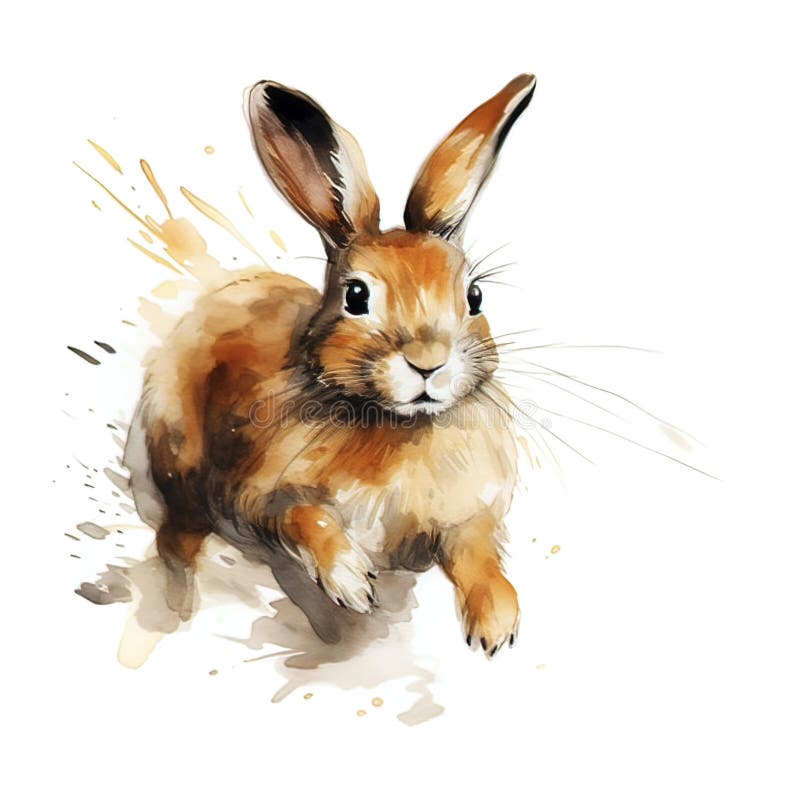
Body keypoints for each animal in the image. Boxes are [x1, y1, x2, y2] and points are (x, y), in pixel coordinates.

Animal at [125, 73, 536, 656]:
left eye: (475, 297)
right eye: (356, 296)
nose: (428, 363)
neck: (398, 425)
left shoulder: (467, 515)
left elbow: (477, 554)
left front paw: (497, 621)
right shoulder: (258, 496)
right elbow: (306, 517)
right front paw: (352, 582)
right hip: (177, 454)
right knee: (177, 532)